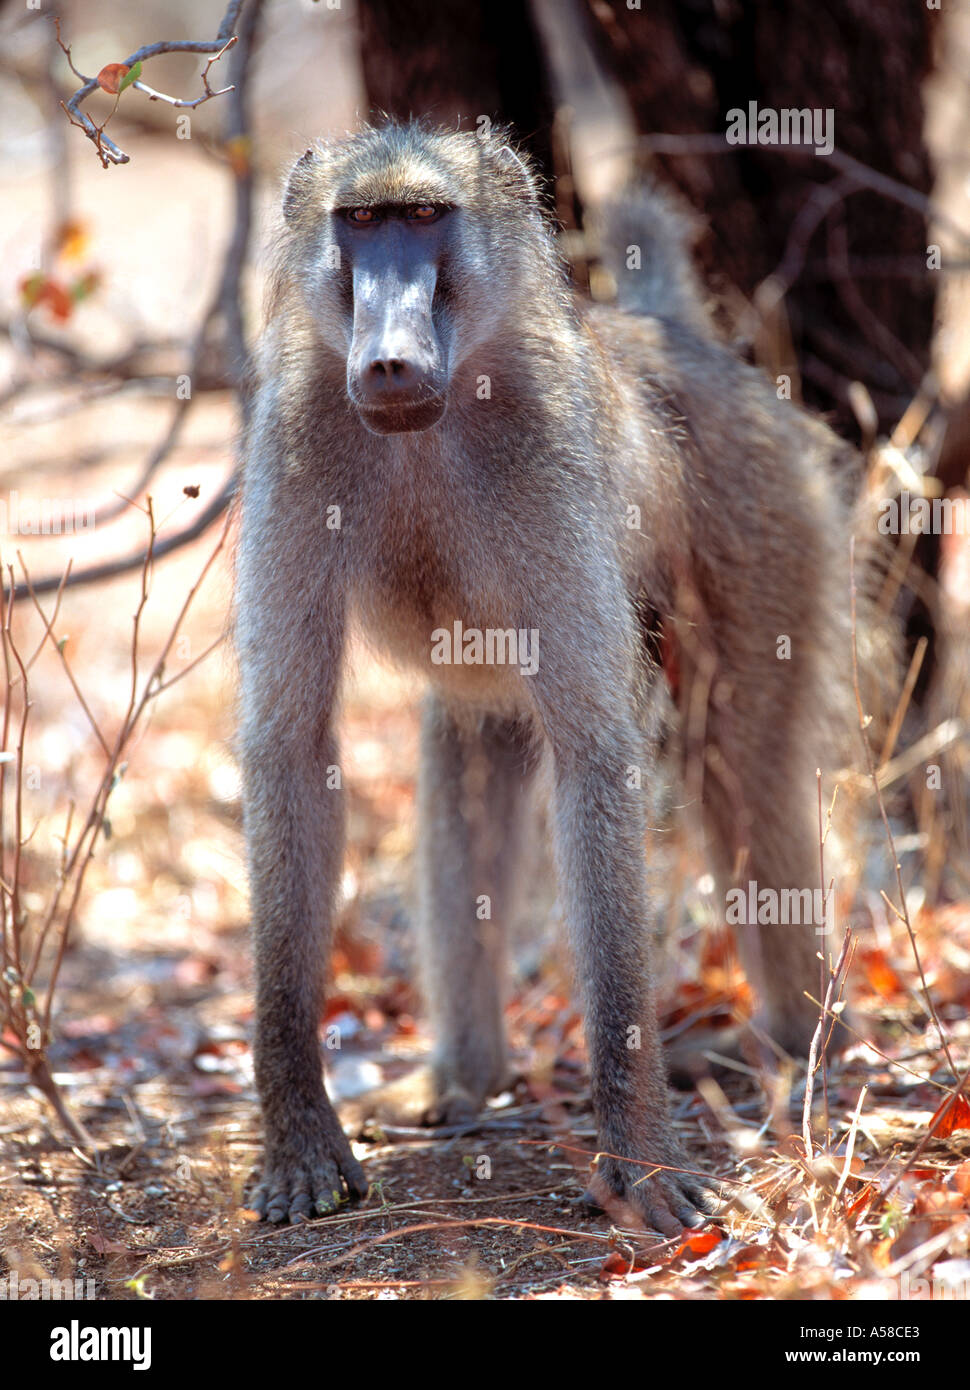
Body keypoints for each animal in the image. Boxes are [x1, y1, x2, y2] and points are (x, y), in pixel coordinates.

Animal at [235, 119, 879, 1234]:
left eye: (424, 217)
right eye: (362, 221)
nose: (389, 355)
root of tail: (673, 336)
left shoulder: (545, 463)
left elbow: (595, 755)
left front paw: (642, 1155)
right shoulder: (295, 444)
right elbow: (292, 749)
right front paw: (301, 1138)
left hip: (774, 519)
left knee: (741, 763)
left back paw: (791, 1039)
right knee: (469, 757)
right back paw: (465, 1076)